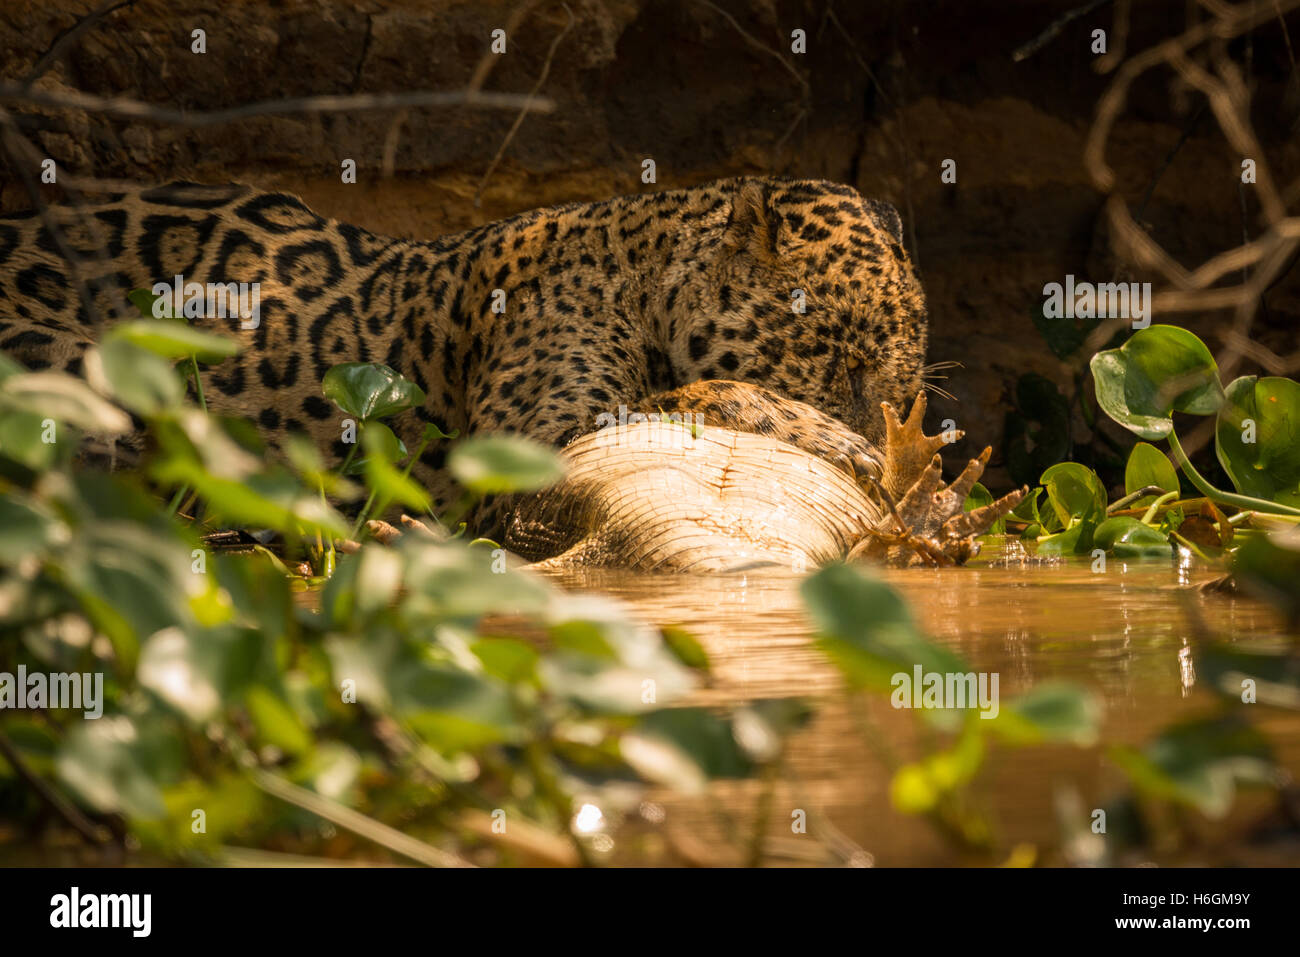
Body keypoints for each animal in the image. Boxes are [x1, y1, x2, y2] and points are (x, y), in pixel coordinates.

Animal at [0, 176, 940, 546]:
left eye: (909, 373)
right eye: (835, 351)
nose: (888, 429)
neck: (636, 273)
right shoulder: (529, 437)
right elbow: (696, 387)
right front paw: (842, 442)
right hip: (75, 378)